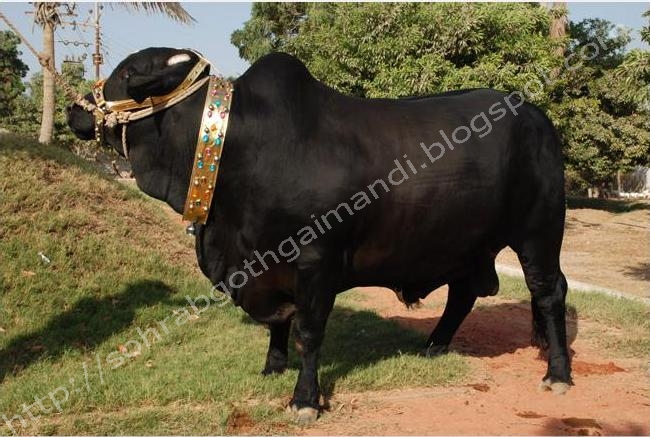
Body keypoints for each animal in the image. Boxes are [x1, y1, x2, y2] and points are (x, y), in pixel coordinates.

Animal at [68, 47, 571, 424]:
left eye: (127, 72)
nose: (74, 110)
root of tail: (535, 113)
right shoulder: (263, 265)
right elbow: (278, 324)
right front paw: (272, 367)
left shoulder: (315, 260)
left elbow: (309, 332)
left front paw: (304, 399)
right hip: (465, 245)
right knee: (464, 293)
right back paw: (433, 346)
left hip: (539, 232)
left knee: (549, 293)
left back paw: (558, 373)